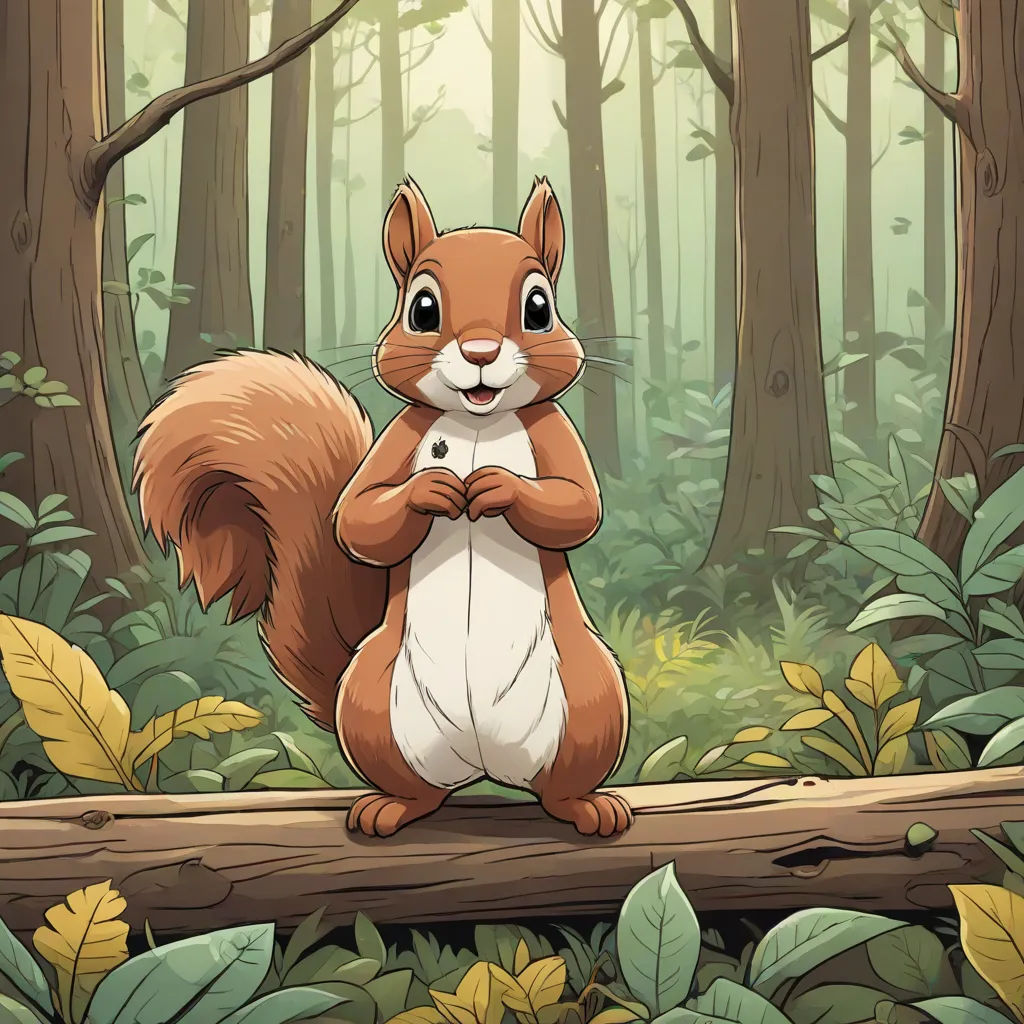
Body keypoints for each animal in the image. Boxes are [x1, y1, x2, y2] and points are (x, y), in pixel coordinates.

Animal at [133, 176, 631, 838]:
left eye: (538, 307)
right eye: (422, 310)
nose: (479, 350)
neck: (479, 420)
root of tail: (484, 768)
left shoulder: (553, 429)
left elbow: (578, 506)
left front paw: (496, 486)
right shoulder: (403, 435)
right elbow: (357, 518)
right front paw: (434, 490)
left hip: (593, 704)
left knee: (560, 787)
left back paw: (589, 806)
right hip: (370, 709)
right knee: (417, 789)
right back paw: (388, 807)